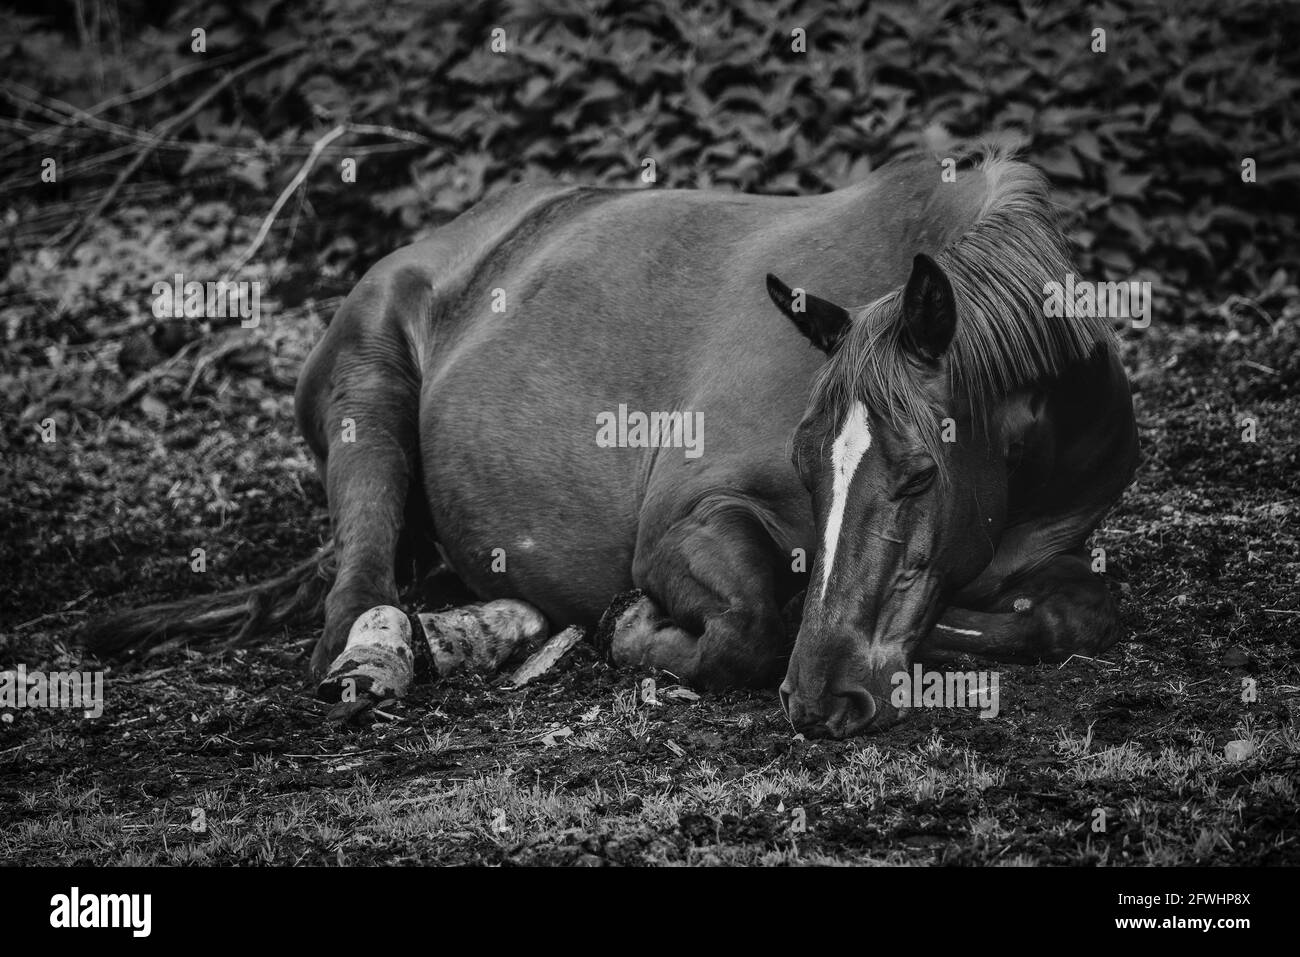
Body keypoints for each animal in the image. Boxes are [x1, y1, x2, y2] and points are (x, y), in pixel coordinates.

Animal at [85, 145, 1138, 738]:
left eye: (920, 476)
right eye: (805, 464)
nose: (820, 697)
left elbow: (1070, 614)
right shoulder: (684, 524)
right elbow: (754, 616)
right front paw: (638, 626)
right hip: (367, 407)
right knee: (357, 592)